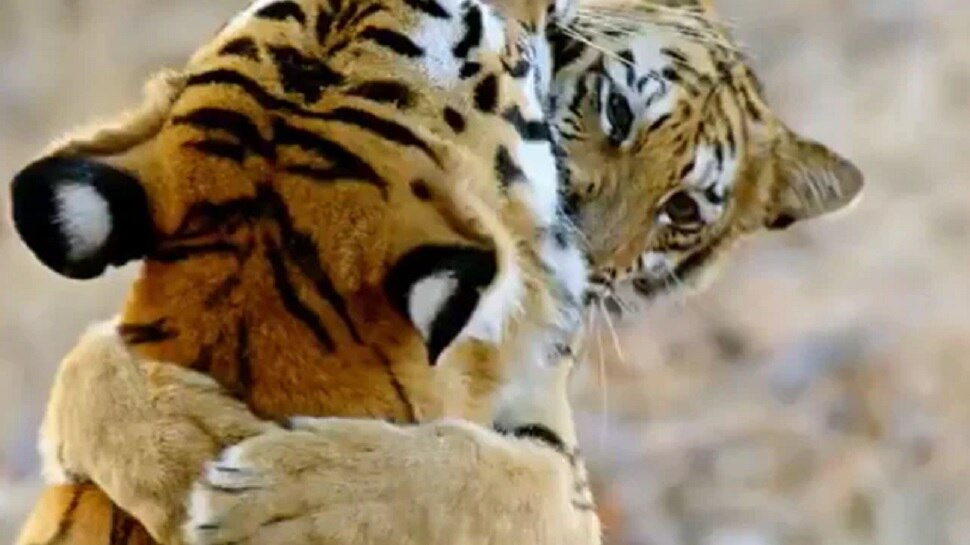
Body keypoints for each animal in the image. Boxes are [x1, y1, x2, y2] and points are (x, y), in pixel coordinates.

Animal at [11, 0, 864, 544]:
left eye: (683, 212)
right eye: (617, 111)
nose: (584, 250)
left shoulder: (561, 476)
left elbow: (479, 477)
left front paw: (284, 501)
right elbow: (90, 371)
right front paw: (182, 450)